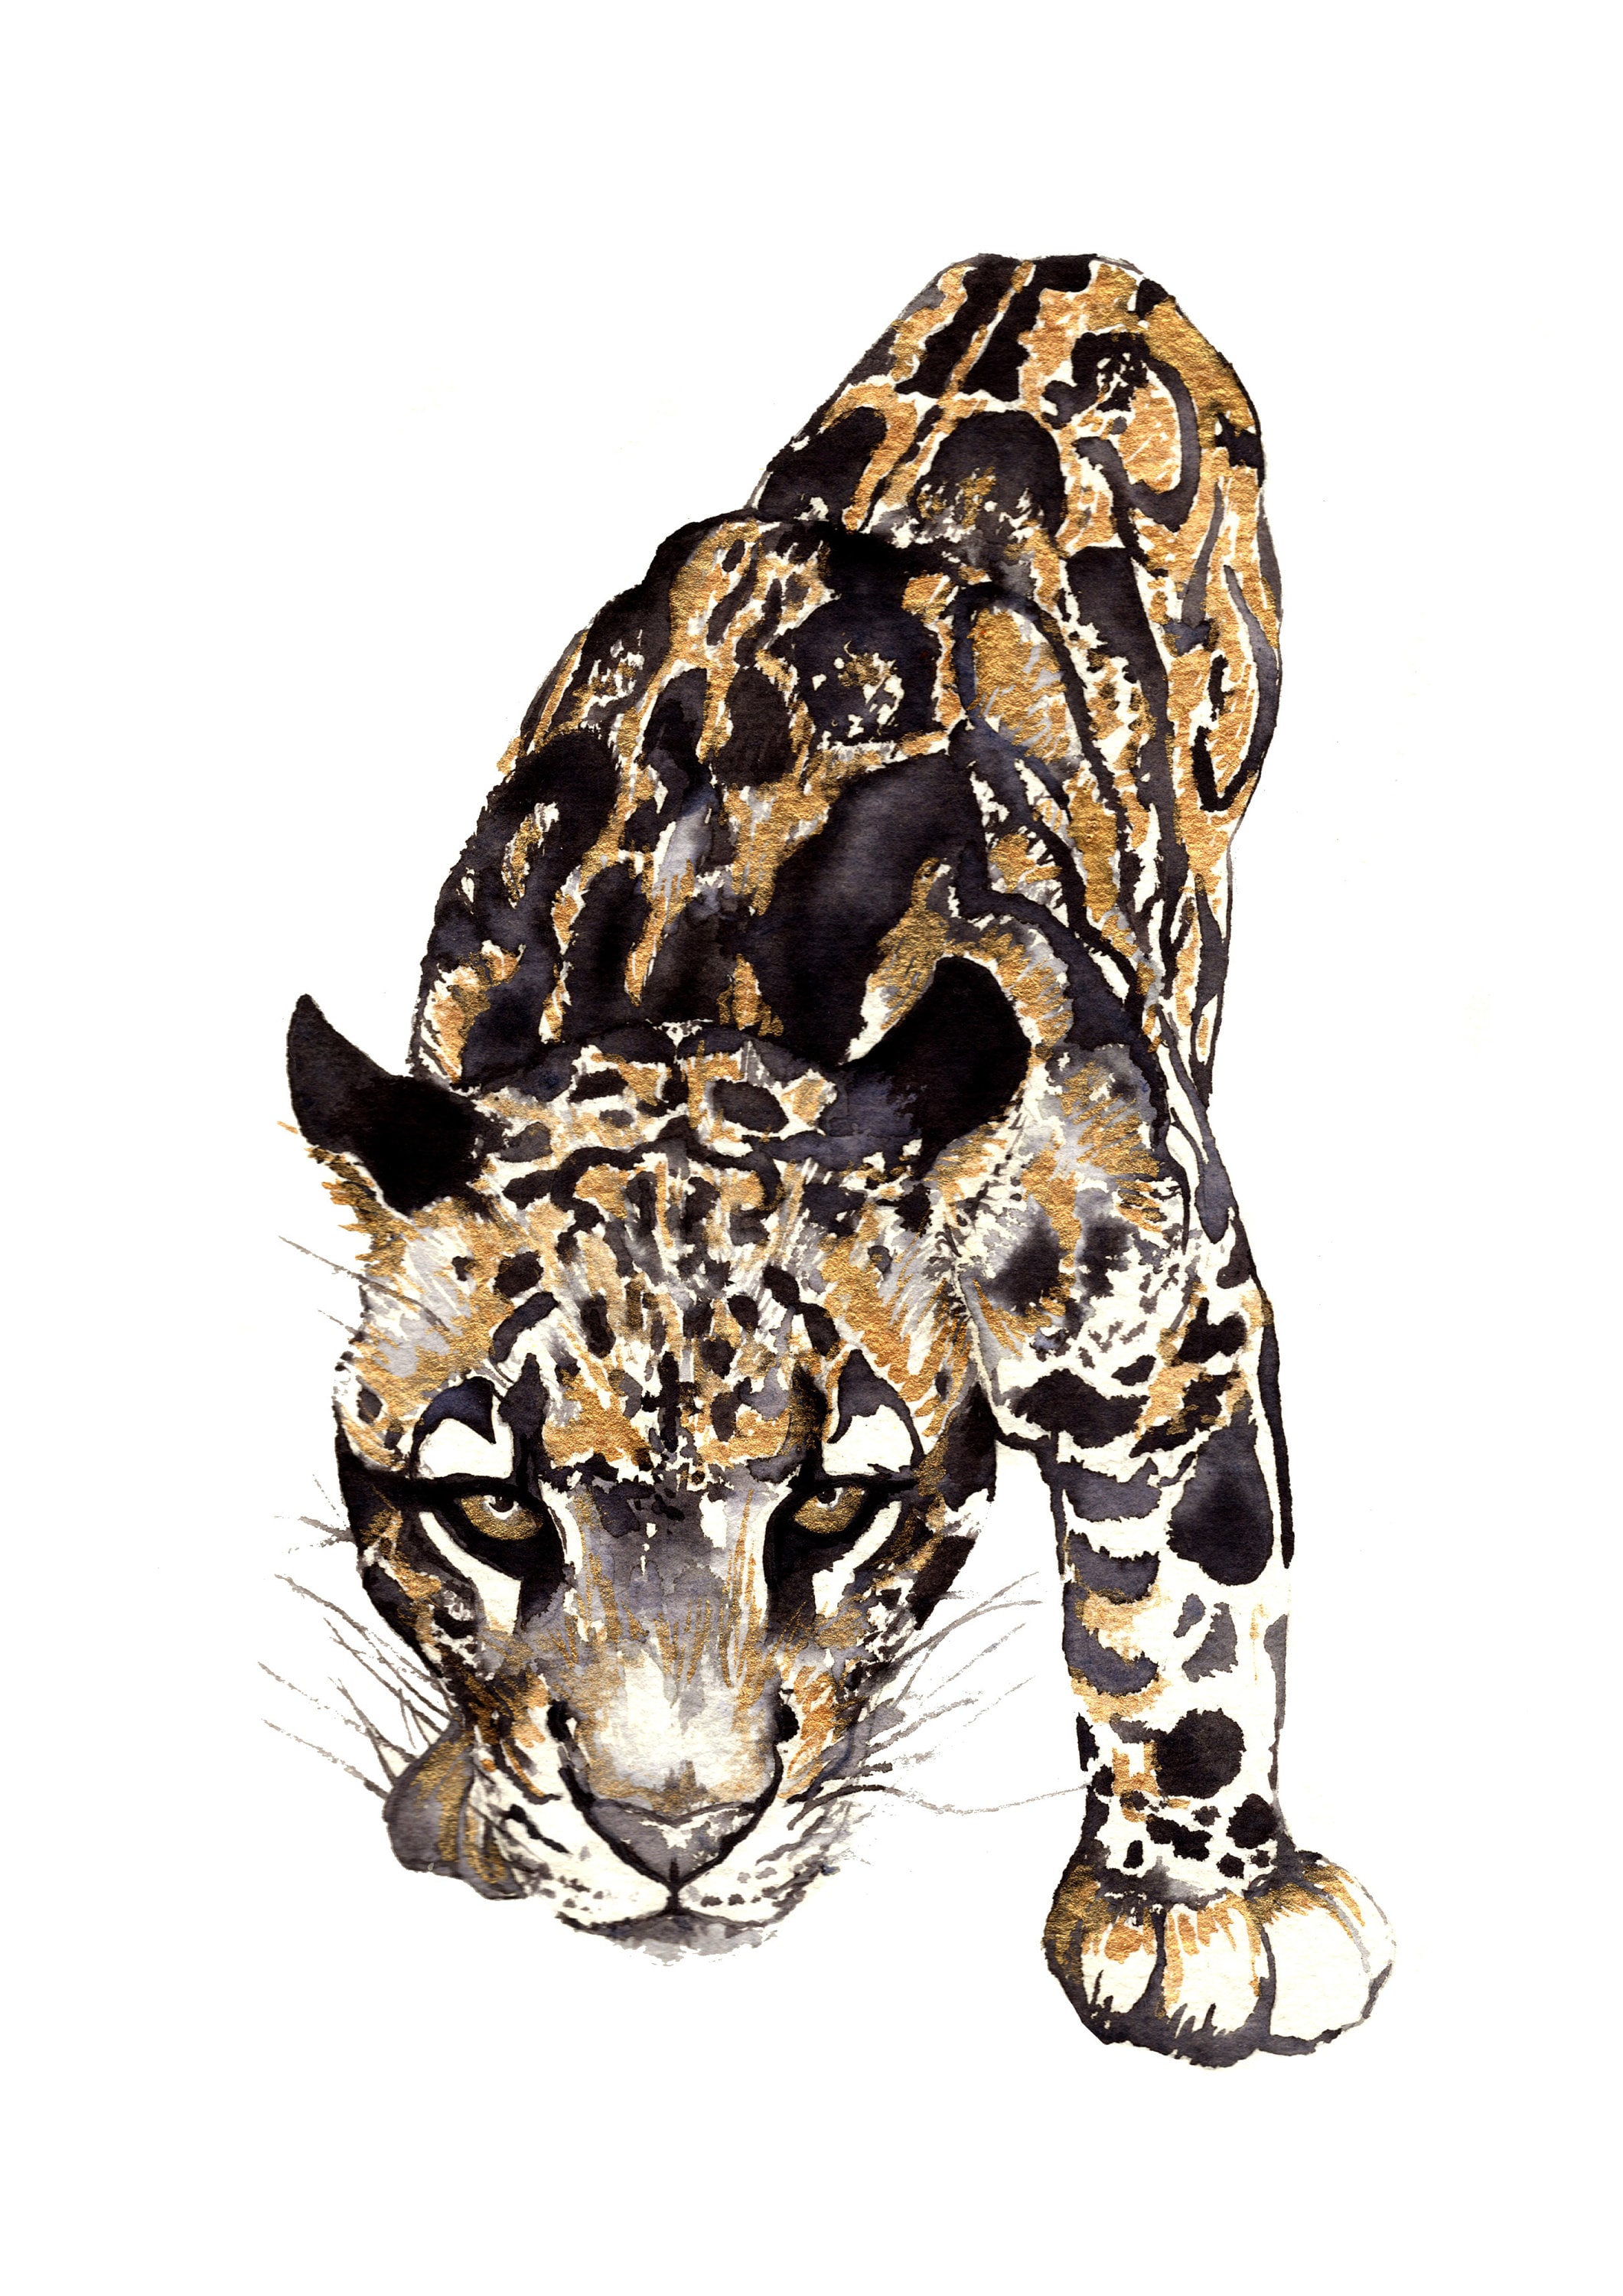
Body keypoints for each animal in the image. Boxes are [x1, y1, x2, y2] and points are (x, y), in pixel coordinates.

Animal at [287, 253, 1395, 2065]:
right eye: (493, 1513)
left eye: (832, 1508)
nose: (670, 1834)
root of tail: (1053, 252)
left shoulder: (1158, 1307)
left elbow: (1182, 1588)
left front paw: (1202, 1901)